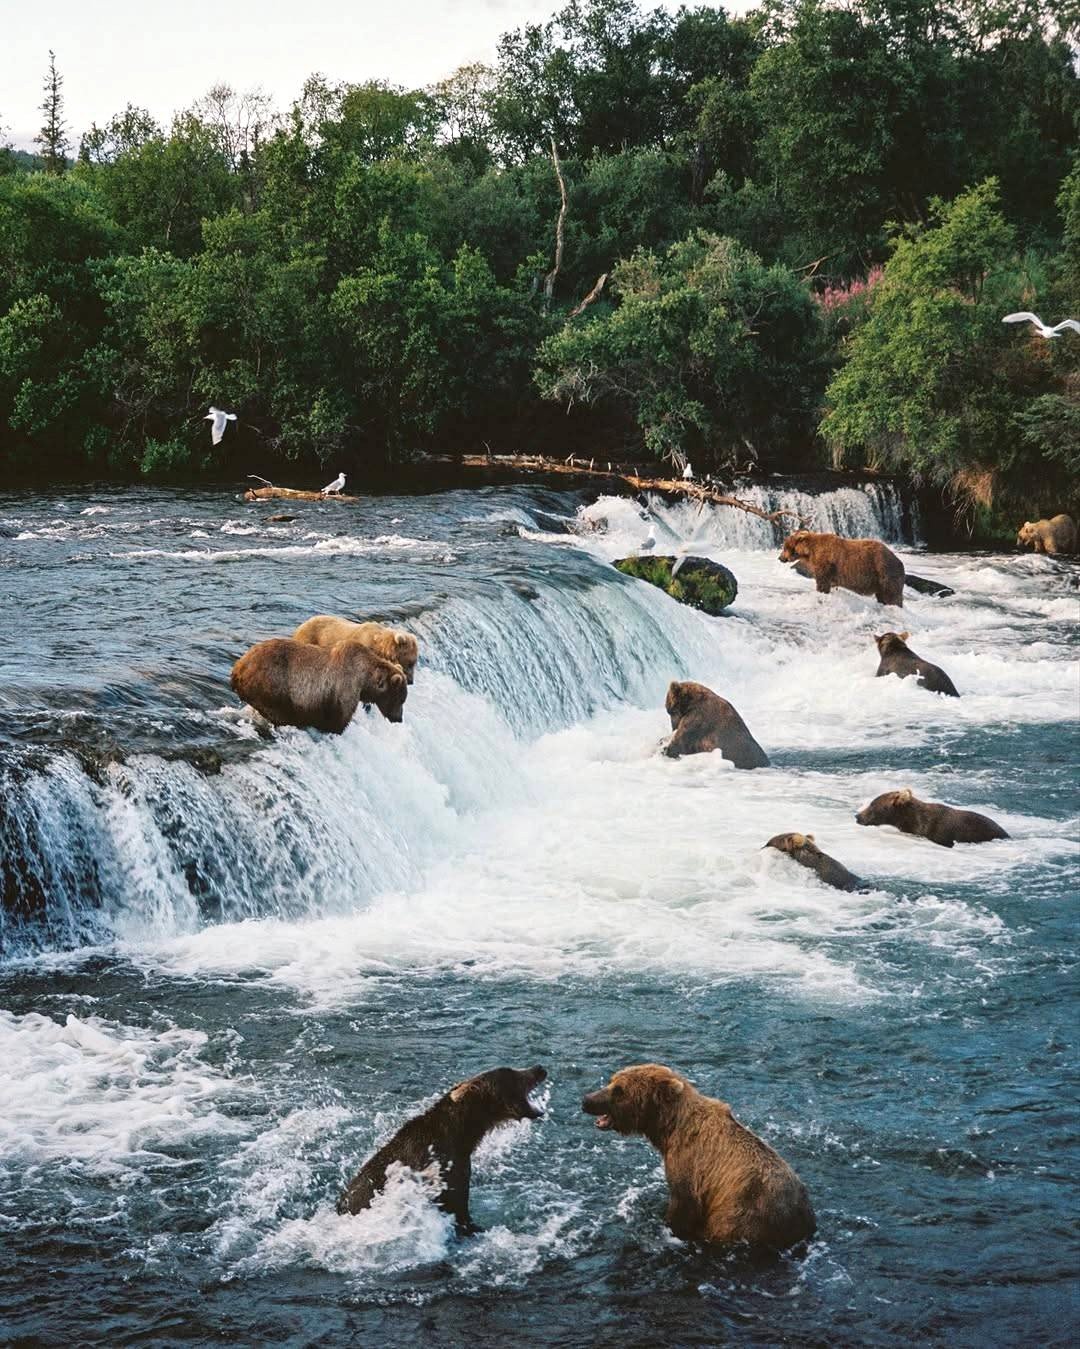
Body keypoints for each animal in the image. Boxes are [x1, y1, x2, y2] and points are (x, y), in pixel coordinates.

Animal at [230, 637, 407, 732]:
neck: (364, 679)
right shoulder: (343, 688)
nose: (399, 719)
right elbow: (339, 720)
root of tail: (238, 667)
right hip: (271, 684)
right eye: (400, 699)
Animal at [582, 1064, 816, 1252]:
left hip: (746, 1214)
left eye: (619, 1089)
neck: (669, 1128)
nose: (586, 1100)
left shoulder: (690, 1166)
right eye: (612, 1080)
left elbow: (682, 1204)